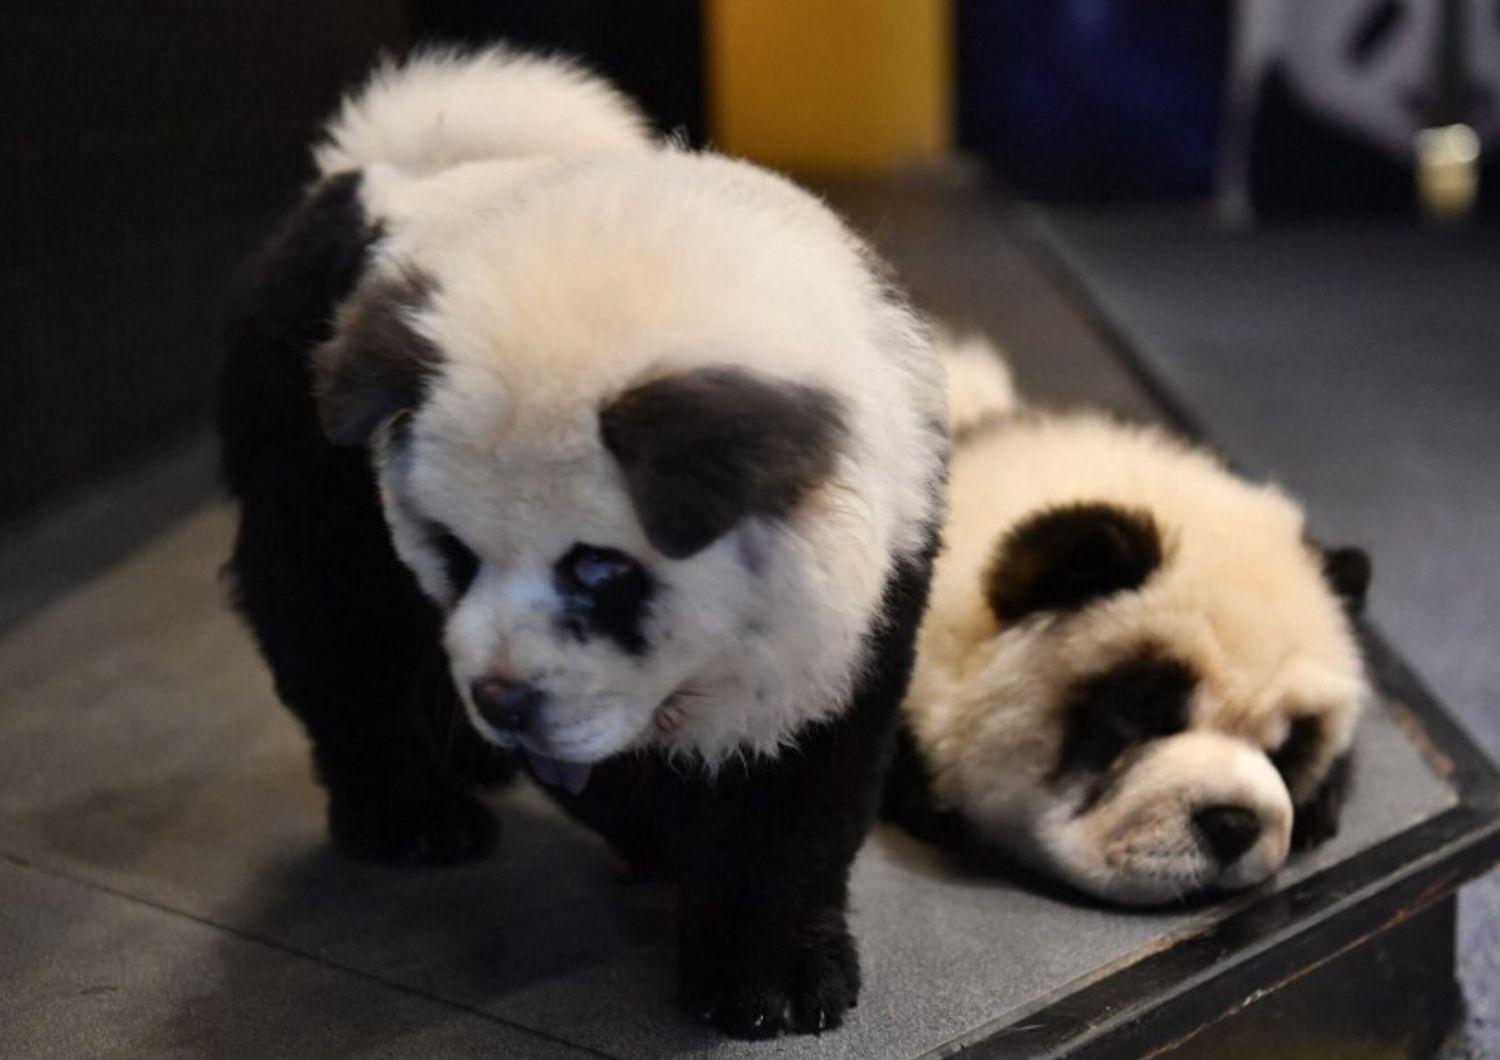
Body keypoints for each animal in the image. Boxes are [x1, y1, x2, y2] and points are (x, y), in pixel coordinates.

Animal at [219, 48, 946, 1038]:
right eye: (454, 553)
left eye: (599, 569)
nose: (503, 698)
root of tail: (374, 164)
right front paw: (657, 834)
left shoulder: (875, 547)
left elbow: (799, 772)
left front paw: (773, 975)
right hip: (299, 437)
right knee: (329, 618)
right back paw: (411, 811)